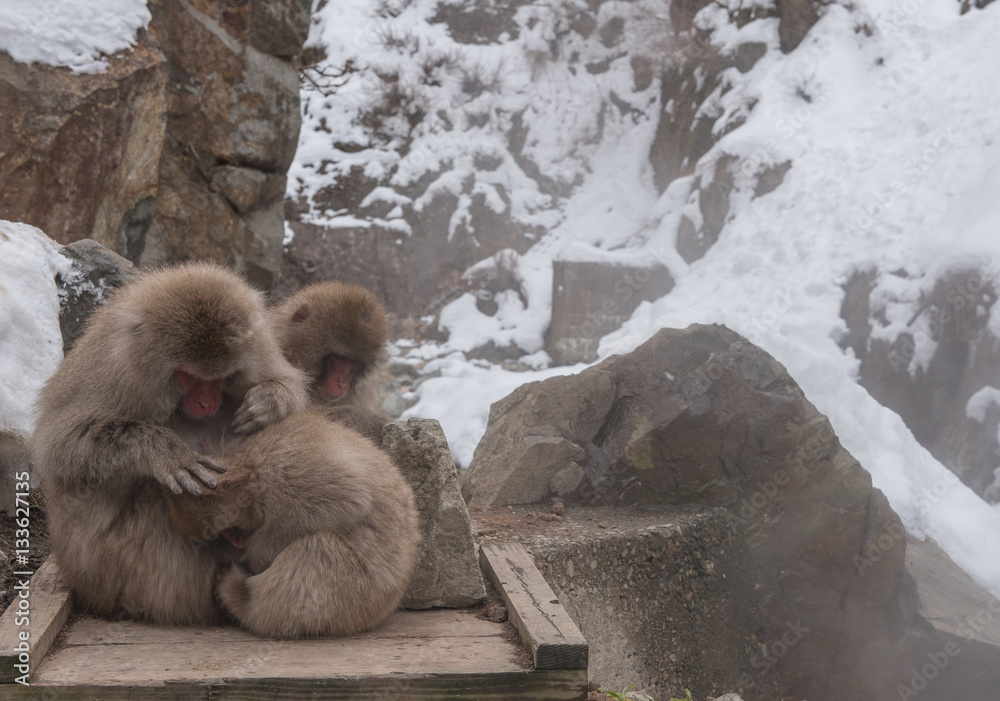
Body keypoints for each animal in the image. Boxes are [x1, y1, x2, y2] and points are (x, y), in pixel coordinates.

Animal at [30, 262, 310, 625]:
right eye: (188, 375)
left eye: (219, 378)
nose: (206, 403)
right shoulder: (113, 370)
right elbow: (62, 446)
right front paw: (165, 451)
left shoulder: (259, 348)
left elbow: (284, 385)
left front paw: (270, 400)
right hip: (121, 570)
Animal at [165, 409, 420, 638]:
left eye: (225, 531)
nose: (237, 542)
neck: (251, 467)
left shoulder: (287, 471)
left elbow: (350, 498)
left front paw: (257, 553)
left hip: (361, 601)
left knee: (318, 546)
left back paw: (241, 600)